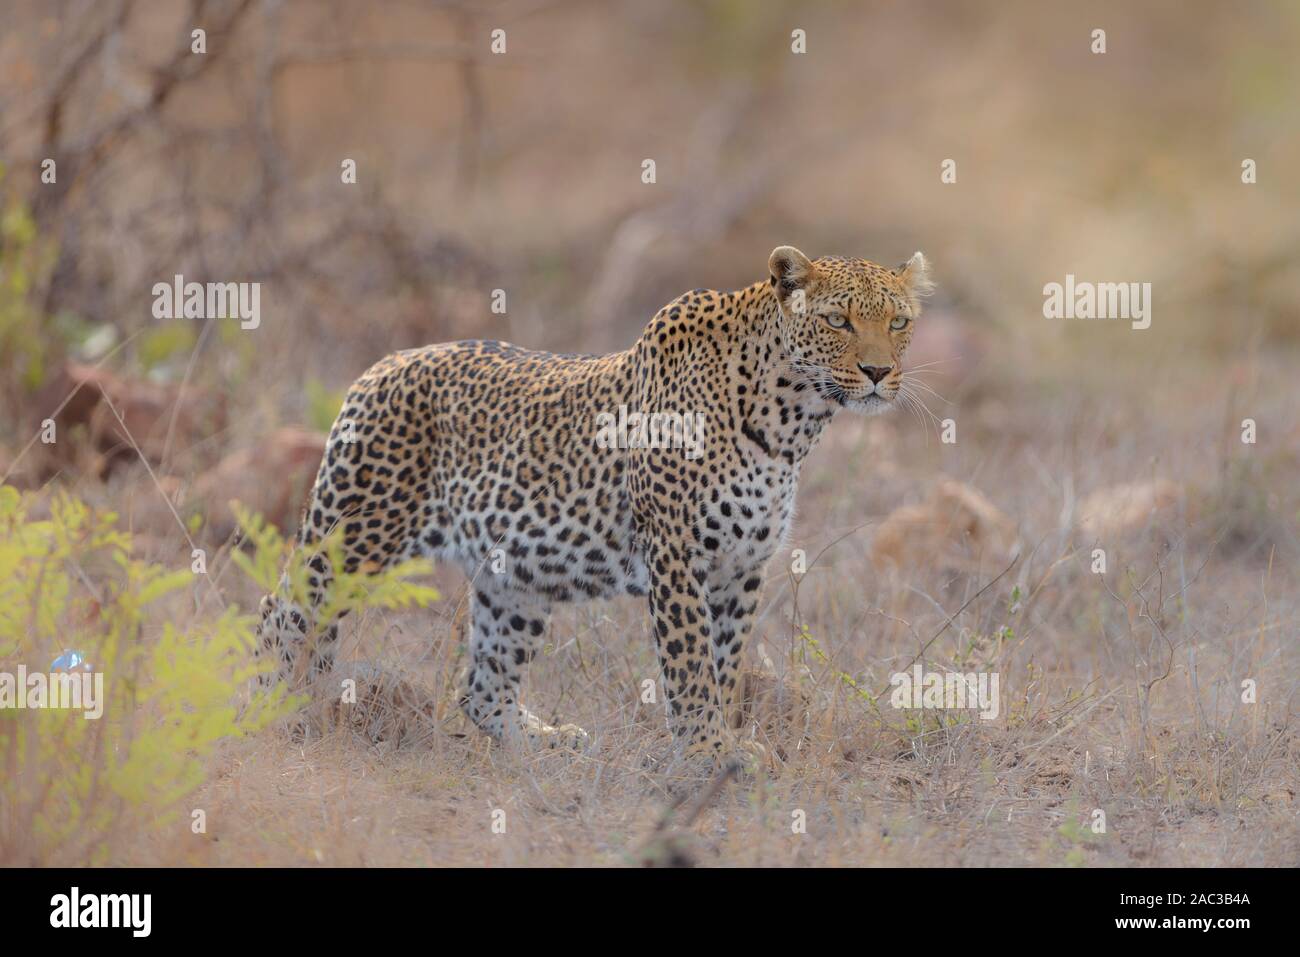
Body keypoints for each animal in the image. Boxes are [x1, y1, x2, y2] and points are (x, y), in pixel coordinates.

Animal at [257, 244, 932, 767]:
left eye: (899, 322)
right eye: (838, 320)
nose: (878, 372)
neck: (789, 419)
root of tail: (383, 365)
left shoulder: (741, 566)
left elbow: (725, 661)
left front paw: (723, 742)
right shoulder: (677, 553)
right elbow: (691, 664)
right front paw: (709, 751)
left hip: (515, 577)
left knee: (481, 684)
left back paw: (541, 743)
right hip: (355, 534)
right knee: (281, 611)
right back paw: (270, 707)